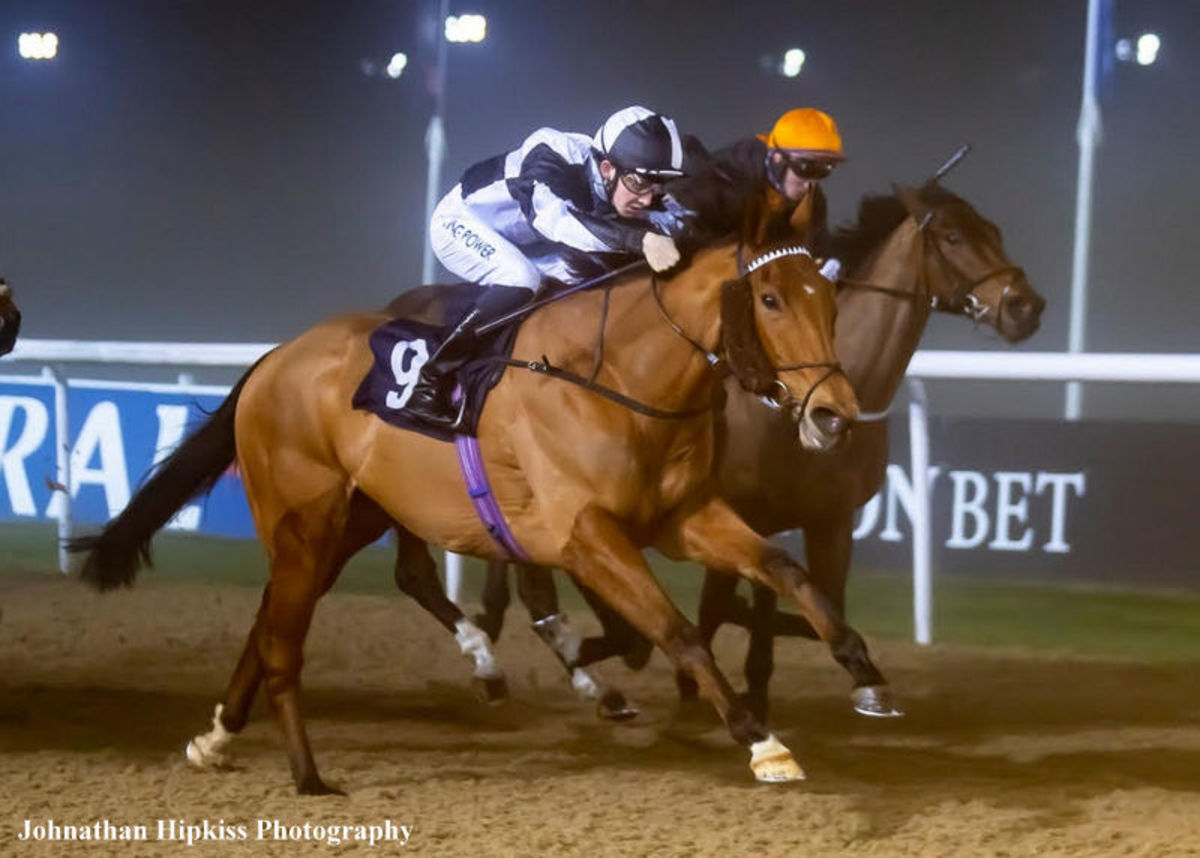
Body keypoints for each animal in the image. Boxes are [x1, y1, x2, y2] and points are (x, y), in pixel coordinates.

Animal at [73, 196, 889, 793]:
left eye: (829, 298)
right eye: (771, 298)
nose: (833, 415)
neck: (621, 376)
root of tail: (277, 356)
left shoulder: (681, 516)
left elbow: (786, 570)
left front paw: (864, 670)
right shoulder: (587, 535)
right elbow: (676, 630)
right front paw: (761, 738)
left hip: (351, 519)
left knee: (270, 620)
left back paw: (215, 739)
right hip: (304, 519)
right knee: (284, 635)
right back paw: (308, 774)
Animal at [474, 178, 1046, 721]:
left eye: (993, 231)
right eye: (952, 237)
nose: (1026, 306)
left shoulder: (829, 521)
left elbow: (809, 602)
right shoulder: (742, 511)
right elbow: (732, 609)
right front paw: (704, 684)